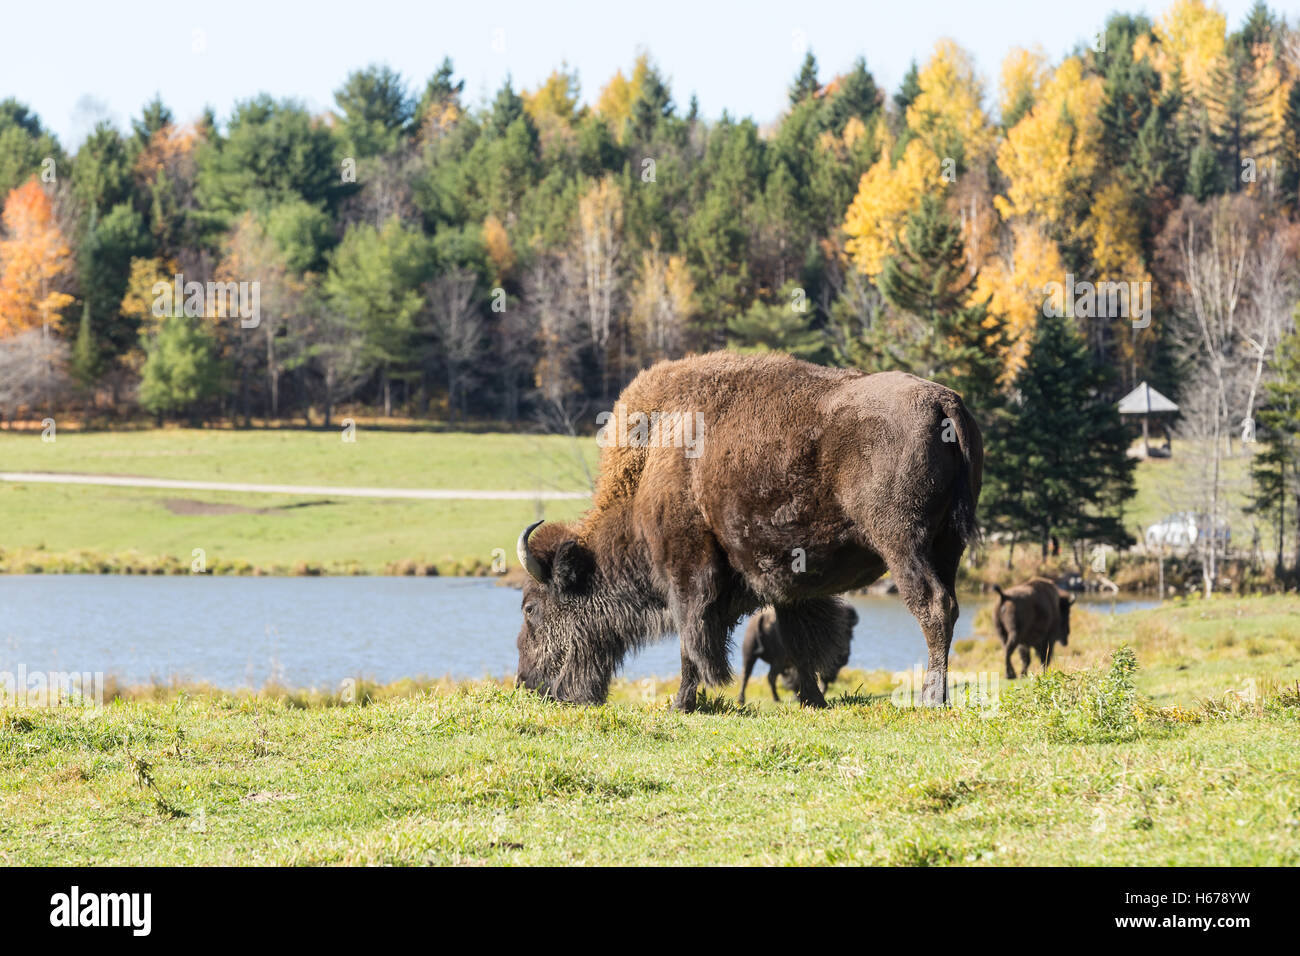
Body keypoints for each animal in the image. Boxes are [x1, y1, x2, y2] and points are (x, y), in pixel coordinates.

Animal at [515, 351, 982, 711]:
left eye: (531, 609)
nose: (528, 683)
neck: (652, 460)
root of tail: (943, 401)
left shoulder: (687, 574)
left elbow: (693, 640)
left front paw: (683, 703)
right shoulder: (794, 583)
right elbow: (799, 640)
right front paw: (812, 700)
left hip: (902, 544)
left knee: (933, 605)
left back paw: (931, 699)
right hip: (949, 545)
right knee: (949, 604)